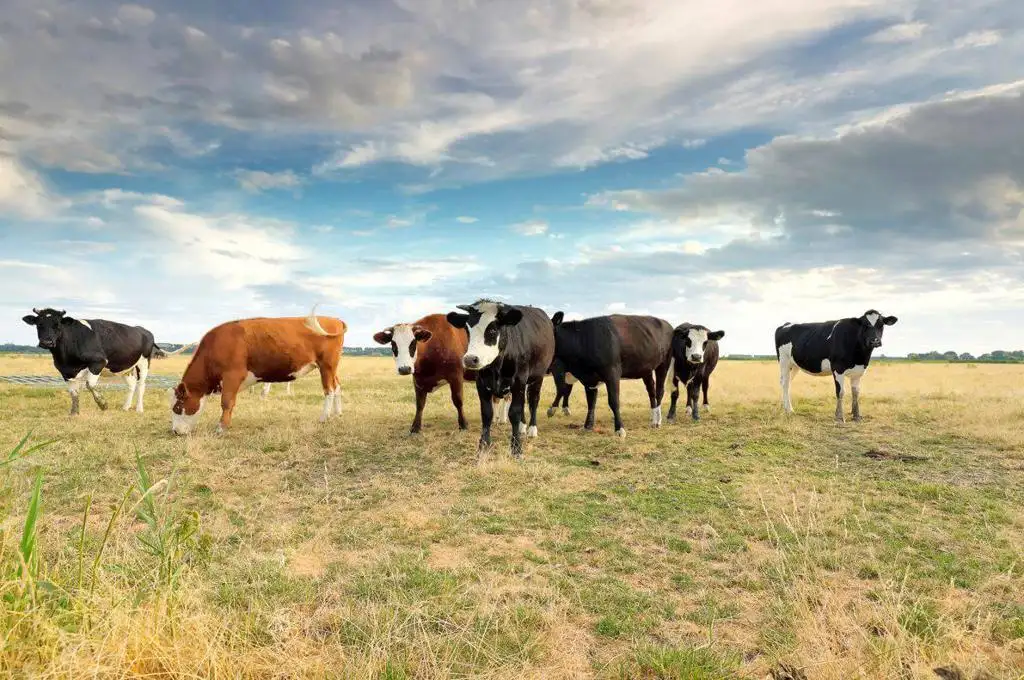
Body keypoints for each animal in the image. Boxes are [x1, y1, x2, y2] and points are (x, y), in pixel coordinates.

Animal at [21, 307, 189, 415]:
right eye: (39, 324)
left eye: (57, 324)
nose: (47, 342)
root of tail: (143, 330)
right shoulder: (66, 371)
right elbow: (74, 393)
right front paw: (74, 413)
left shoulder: (98, 362)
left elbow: (90, 385)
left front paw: (103, 404)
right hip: (125, 367)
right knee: (132, 385)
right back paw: (125, 407)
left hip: (144, 362)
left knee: (141, 385)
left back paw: (139, 409)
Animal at [170, 306, 346, 435]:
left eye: (177, 407)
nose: (175, 431)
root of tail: (335, 319)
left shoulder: (232, 375)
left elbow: (226, 402)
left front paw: (221, 428)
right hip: (333, 368)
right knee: (337, 387)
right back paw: (337, 414)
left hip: (326, 365)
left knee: (329, 390)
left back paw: (324, 417)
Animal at [373, 313, 511, 434]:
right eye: (393, 344)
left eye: (413, 343)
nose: (404, 368)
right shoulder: (418, 380)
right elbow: (419, 404)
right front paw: (415, 427)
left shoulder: (456, 376)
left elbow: (458, 400)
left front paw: (463, 424)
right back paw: (498, 419)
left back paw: (503, 419)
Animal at [446, 299, 555, 459]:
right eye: (467, 330)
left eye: (492, 330)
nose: (470, 359)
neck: (496, 368)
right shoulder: (481, 384)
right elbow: (487, 414)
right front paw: (483, 446)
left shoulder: (519, 381)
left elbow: (514, 413)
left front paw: (516, 448)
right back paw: (522, 426)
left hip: (538, 376)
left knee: (533, 400)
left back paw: (531, 429)